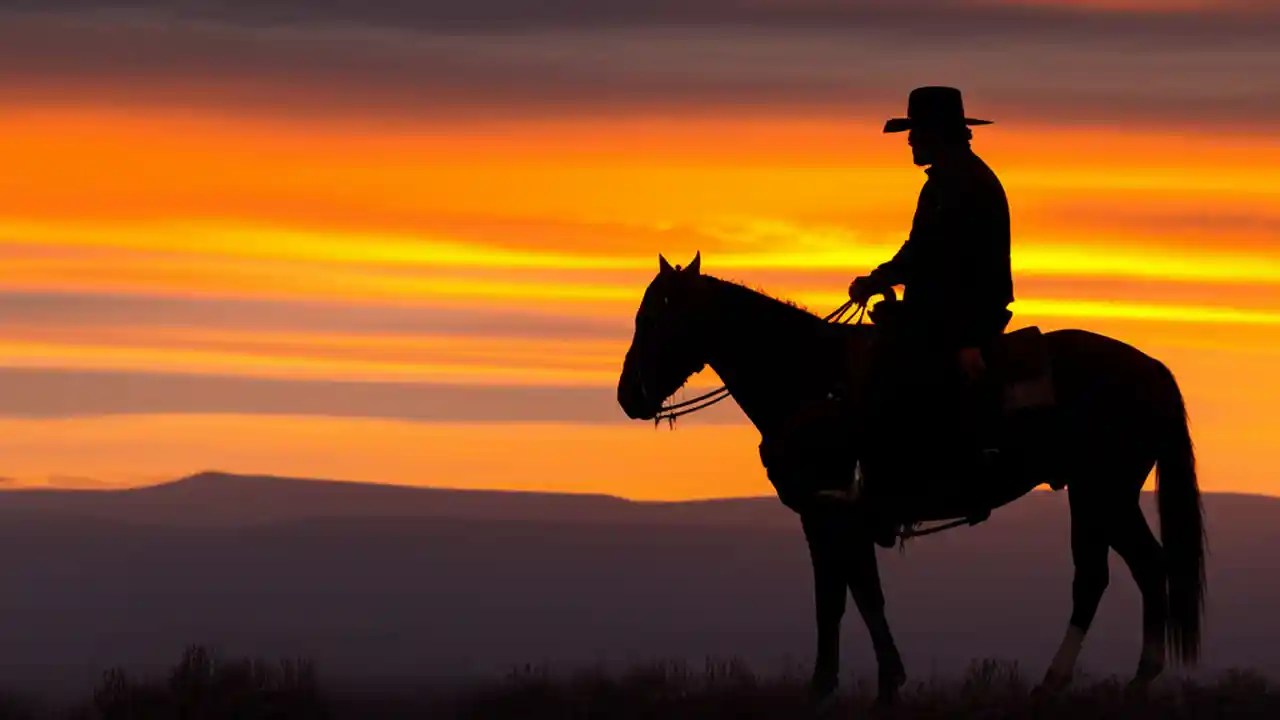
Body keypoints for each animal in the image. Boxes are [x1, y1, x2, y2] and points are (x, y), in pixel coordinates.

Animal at [616, 253, 1205, 708]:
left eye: (654, 319)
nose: (627, 396)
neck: (812, 381)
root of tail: (1151, 368)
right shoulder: (834, 517)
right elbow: (850, 595)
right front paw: (859, 686)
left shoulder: (833, 513)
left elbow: (847, 596)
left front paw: (853, 687)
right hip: (1104, 495)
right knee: (1138, 569)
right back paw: (1124, 681)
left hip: (1099, 492)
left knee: (1105, 575)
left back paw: (1069, 683)